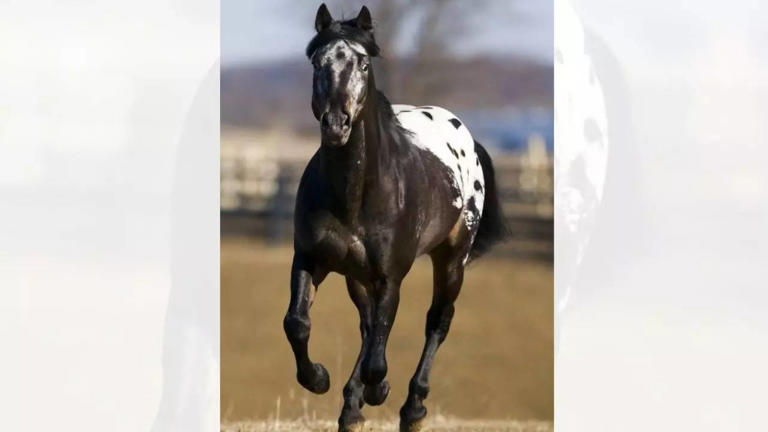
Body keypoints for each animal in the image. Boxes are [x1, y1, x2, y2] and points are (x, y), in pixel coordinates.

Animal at [283, 4, 509, 431]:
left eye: (363, 63)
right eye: (317, 62)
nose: (336, 124)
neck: (355, 195)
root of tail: (468, 140)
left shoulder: (390, 276)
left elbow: (379, 354)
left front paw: (377, 391)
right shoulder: (310, 259)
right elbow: (298, 324)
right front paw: (319, 378)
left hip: (452, 259)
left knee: (437, 321)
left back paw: (412, 409)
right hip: (356, 276)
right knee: (368, 325)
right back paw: (352, 409)